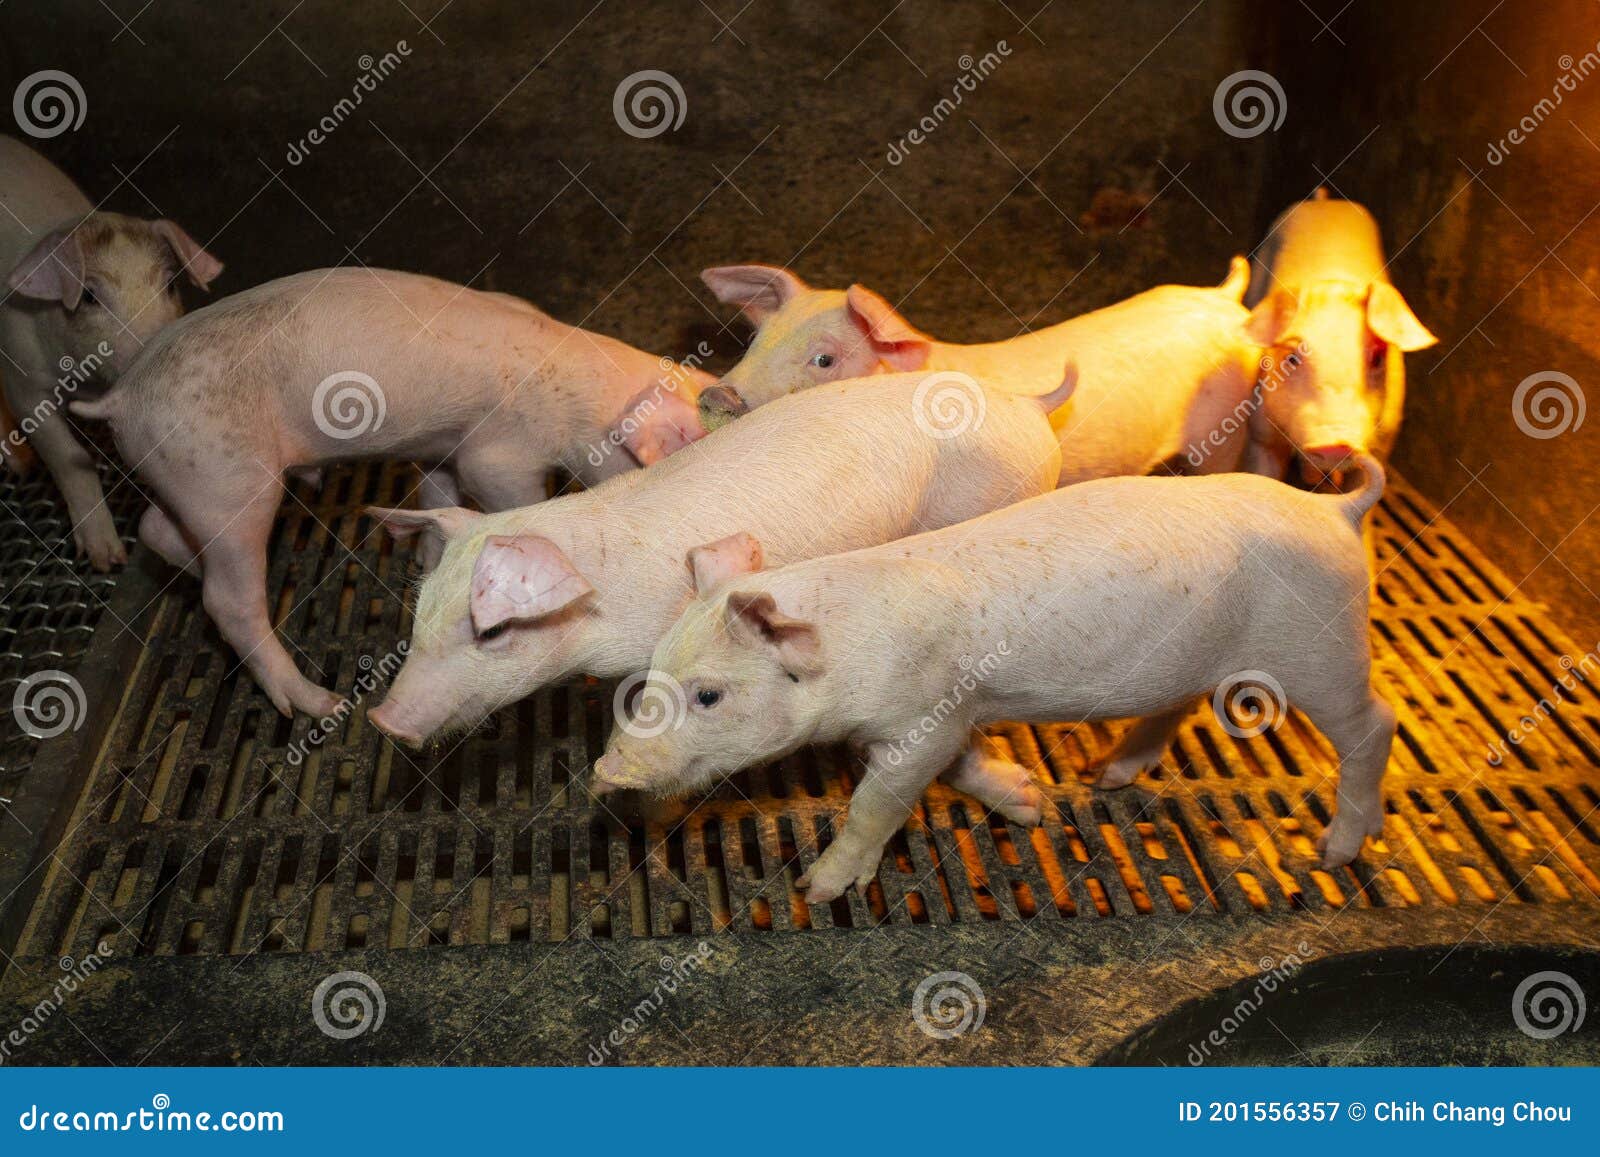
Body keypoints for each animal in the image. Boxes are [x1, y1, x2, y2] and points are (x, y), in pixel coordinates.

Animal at [1, 135, 222, 569]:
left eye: (170, 285)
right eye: (89, 296)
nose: (160, 354)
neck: (85, 382)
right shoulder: (22, 377)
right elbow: (69, 456)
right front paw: (107, 558)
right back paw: (20, 466)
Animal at [74, 267, 714, 717]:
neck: (586, 403)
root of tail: (122, 397)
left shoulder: (441, 448)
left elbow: (436, 499)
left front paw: (427, 563)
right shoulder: (497, 452)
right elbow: (505, 496)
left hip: (187, 478)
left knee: (155, 528)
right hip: (225, 476)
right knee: (228, 599)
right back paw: (315, 703)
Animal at [594, 456, 1395, 902]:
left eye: (709, 694)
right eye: (653, 674)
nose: (607, 770)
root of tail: (1335, 506)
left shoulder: (922, 719)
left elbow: (875, 804)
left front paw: (817, 890)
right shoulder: (951, 716)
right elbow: (965, 762)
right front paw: (1034, 805)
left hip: (1320, 650)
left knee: (1375, 723)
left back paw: (1334, 852)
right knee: (1183, 704)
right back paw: (1105, 776)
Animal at [1243, 189, 1437, 484]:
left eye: (1377, 358)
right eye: (1291, 359)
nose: (1335, 443)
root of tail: (1325, 201)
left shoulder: (1385, 440)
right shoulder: (1261, 429)